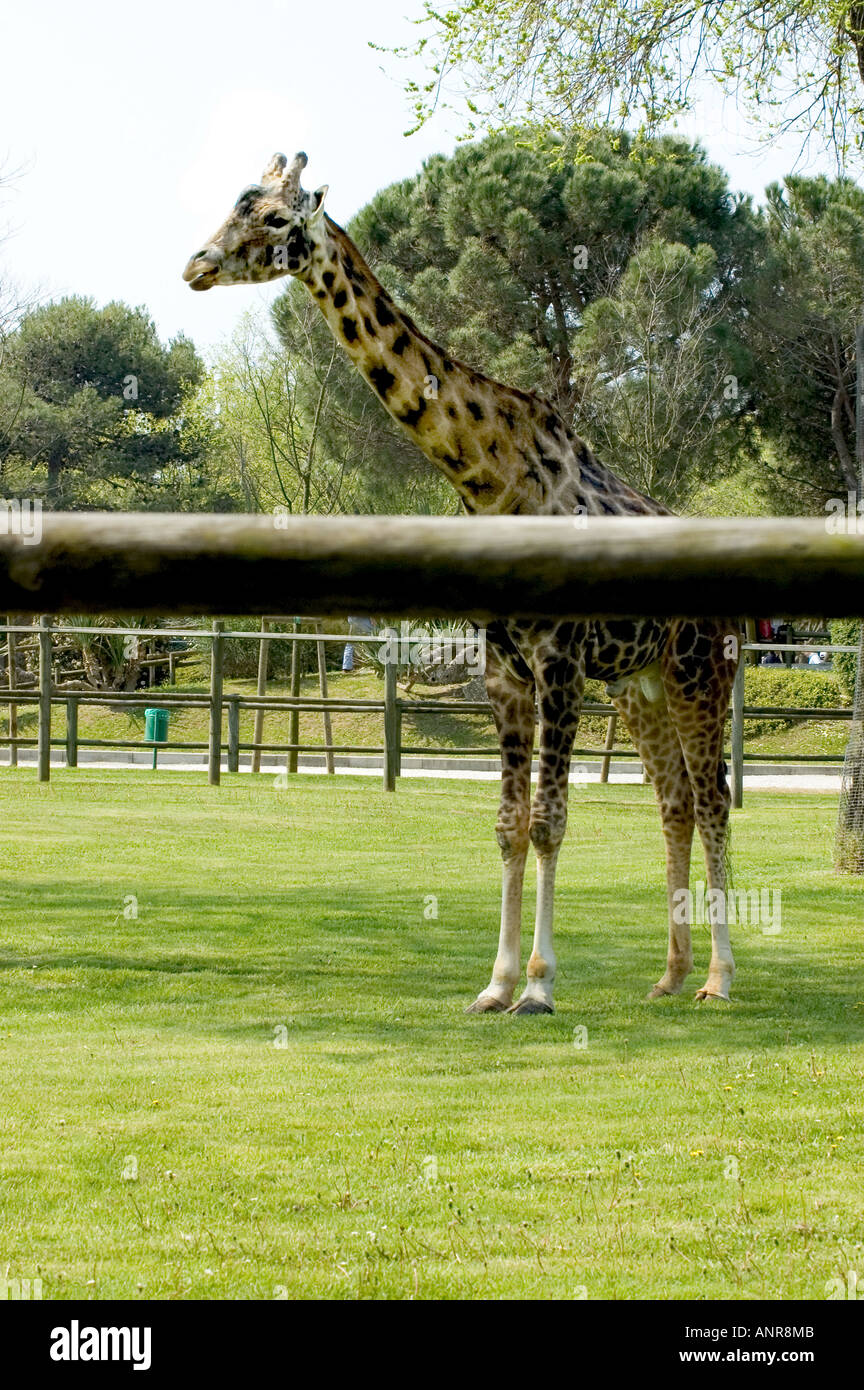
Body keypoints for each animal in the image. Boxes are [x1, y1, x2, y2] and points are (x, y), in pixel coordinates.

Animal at [183, 151, 739, 1013]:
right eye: (234, 203)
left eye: (274, 218)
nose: (198, 265)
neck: (489, 480)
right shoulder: (506, 668)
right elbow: (507, 826)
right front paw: (496, 984)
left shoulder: (559, 663)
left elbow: (548, 821)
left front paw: (539, 988)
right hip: (640, 682)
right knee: (674, 802)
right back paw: (671, 974)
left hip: (698, 668)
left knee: (713, 801)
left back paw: (719, 976)